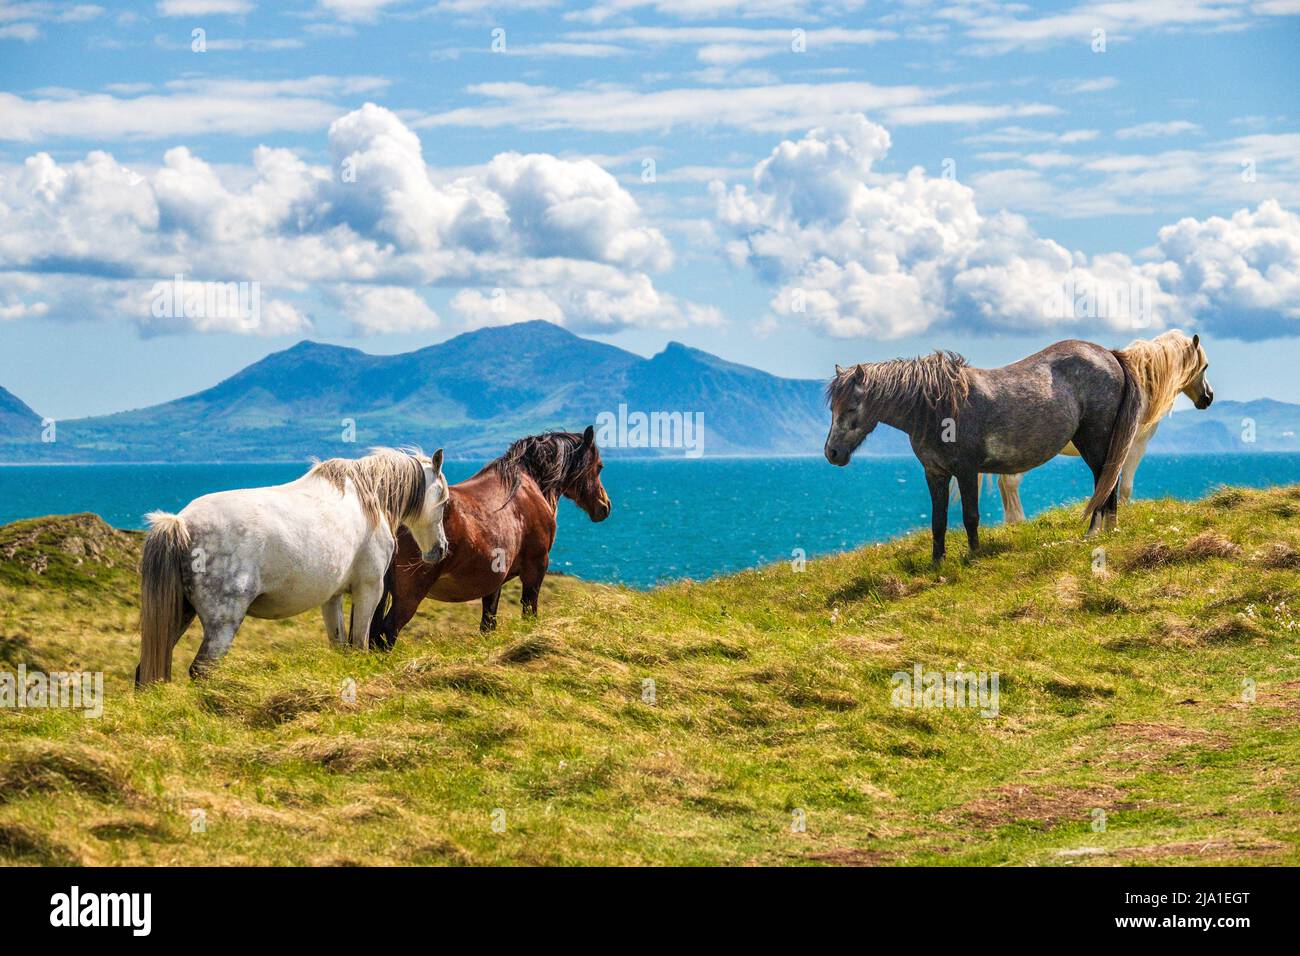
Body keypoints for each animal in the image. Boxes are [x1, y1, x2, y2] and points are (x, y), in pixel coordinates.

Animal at [136, 447, 450, 686]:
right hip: (223, 622)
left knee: (146, 670)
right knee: (202, 669)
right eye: (444, 501)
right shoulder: (368, 590)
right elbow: (359, 645)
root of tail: (181, 524)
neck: (368, 497)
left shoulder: (332, 598)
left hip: (181, 613)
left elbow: (340, 646)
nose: (441, 549)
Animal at [369, 426, 611, 650]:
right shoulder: (536, 567)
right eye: (599, 466)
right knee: (387, 633)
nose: (605, 506)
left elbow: (488, 623)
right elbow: (529, 612)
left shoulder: (494, 580)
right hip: (410, 593)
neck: (527, 486)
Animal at [824, 340, 1143, 564]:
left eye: (851, 407)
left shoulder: (966, 470)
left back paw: (1094, 532)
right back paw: (1108, 529)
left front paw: (974, 555)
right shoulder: (935, 474)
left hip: (1095, 439)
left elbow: (970, 516)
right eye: (832, 408)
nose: (832, 453)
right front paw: (937, 561)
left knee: (1105, 480)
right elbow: (938, 520)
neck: (936, 407)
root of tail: (1108, 355)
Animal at [992, 331, 1213, 522]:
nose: (1208, 397)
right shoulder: (1136, 445)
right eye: (1205, 367)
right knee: (1010, 483)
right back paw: (1018, 522)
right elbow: (1125, 485)